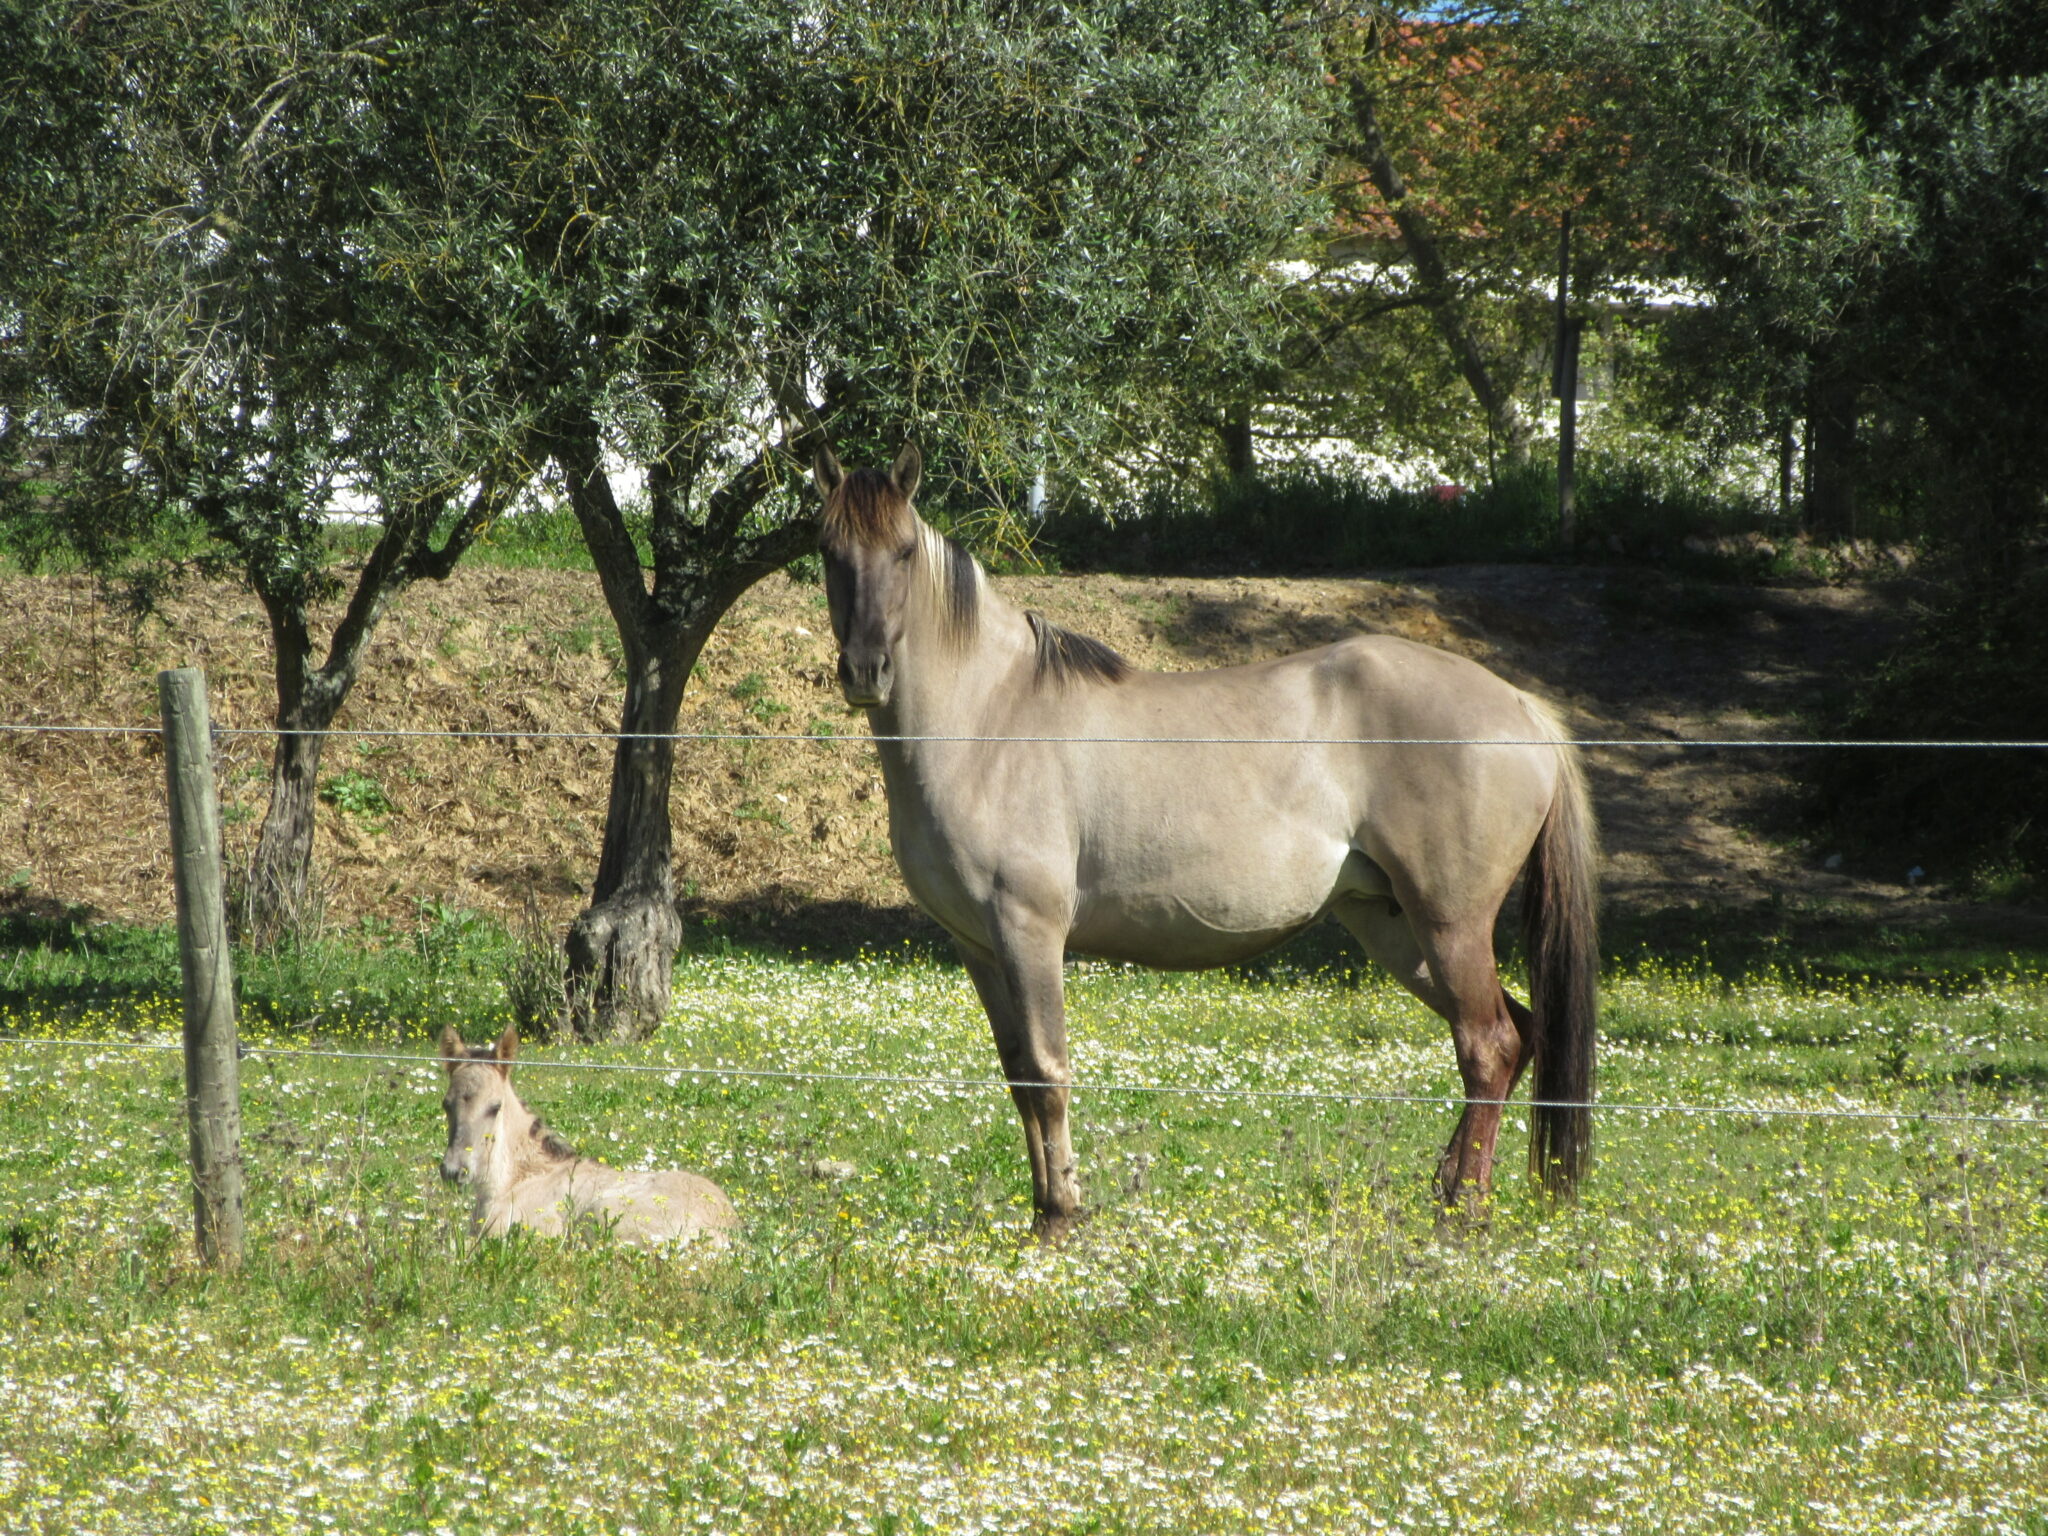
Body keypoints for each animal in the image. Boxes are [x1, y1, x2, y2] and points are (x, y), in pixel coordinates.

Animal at [437, 1026, 738, 1248]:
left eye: (495, 1107)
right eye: (446, 1104)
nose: (453, 1171)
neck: (518, 1178)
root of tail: (725, 1229)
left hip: (607, 1213)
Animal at [813, 445, 1598, 1239]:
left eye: (904, 552)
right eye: (828, 551)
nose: (865, 671)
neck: (990, 719)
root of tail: (1521, 706)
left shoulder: (1028, 931)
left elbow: (1046, 1070)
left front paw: (1061, 1215)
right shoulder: (978, 945)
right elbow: (1018, 1077)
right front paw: (1043, 1207)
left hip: (1450, 923)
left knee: (1487, 1046)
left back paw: (1461, 1213)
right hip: (1395, 928)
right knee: (1515, 1034)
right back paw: (1448, 1192)